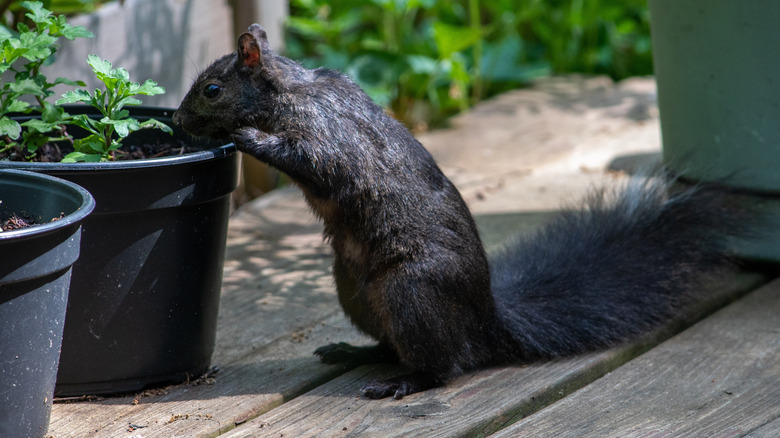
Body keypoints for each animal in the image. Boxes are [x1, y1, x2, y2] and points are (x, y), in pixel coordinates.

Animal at [173, 24, 751, 400]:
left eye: (212, 89)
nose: (177, 121)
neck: (291, 90)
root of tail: (485, 321)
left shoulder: (328, 135)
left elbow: (315, 163)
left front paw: (247, 137)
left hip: (412, 291)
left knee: (445, 366)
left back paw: (403, 383)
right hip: (355, 289)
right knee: (396, 345)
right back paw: (359, 354)